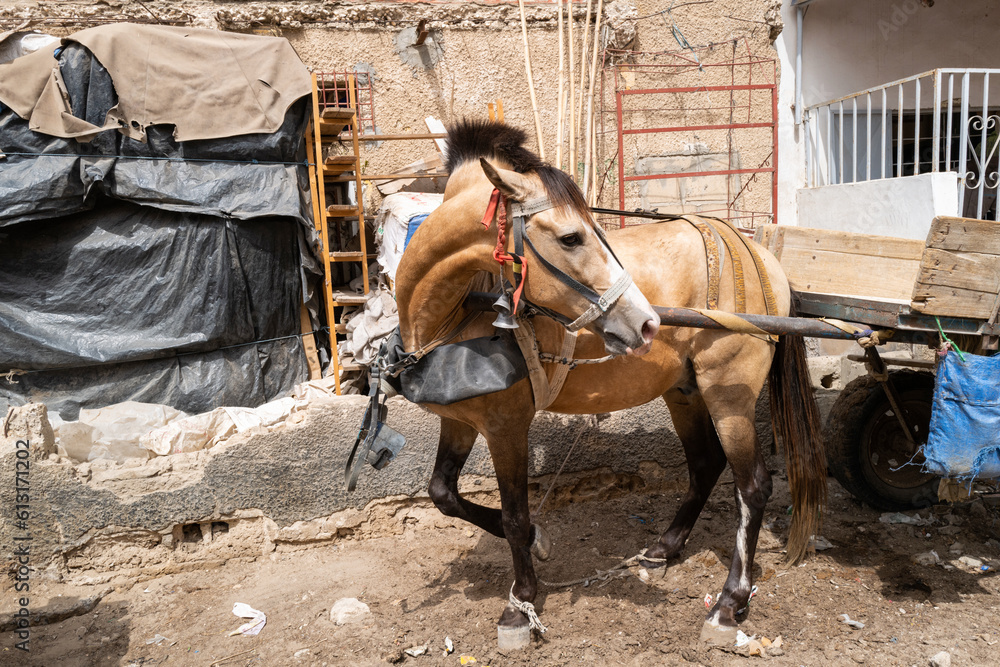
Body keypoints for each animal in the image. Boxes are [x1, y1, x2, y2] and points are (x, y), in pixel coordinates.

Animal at [392, 119, 825, 648]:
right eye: (571, 237)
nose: (645, 323)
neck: (455, 313)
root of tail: (756, 252)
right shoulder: (460, 420)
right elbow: (442, 493)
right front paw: (538, 542)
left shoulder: (506, 425)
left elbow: (513, 515)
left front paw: (521, 602)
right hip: (683, 391)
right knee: (706, 464)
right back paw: (666, 547)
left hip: (729, 396)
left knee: (754, 485)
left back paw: (729, 602)